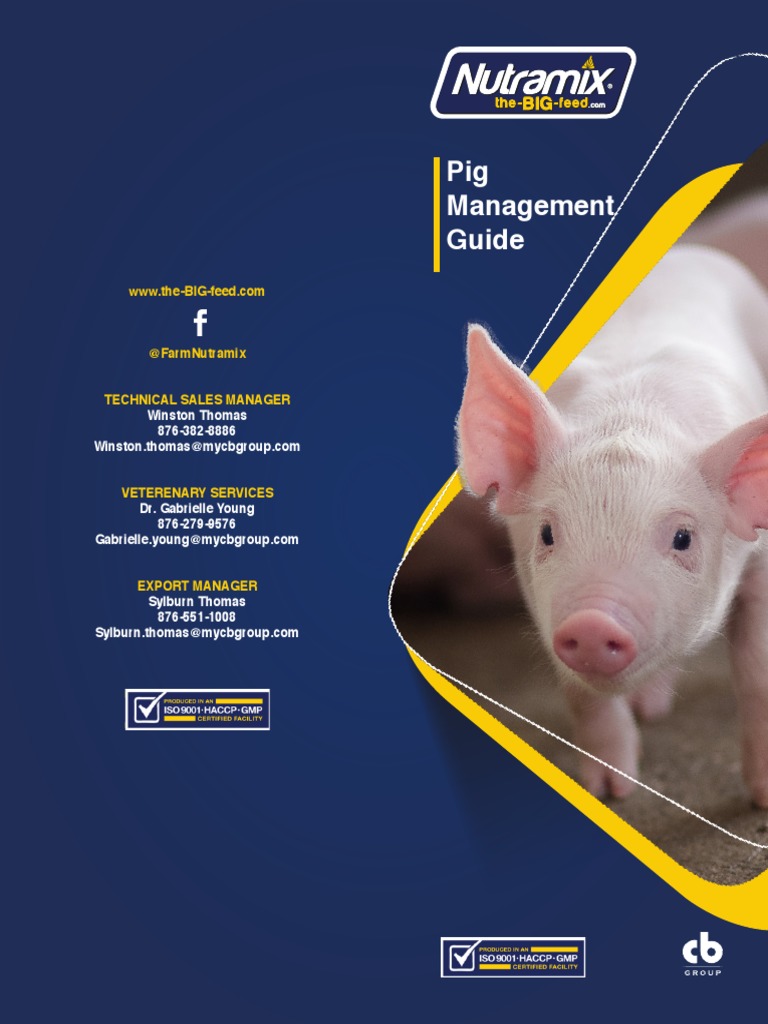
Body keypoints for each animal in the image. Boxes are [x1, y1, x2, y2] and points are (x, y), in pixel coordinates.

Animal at [457, 242, 768, 804]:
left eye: (683, 537)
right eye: (547, 533)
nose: (592, 622)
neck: (633, 418)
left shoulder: (759, 564)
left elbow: (756, 668)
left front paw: (762, 800)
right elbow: (582, 694)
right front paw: (610, 793)